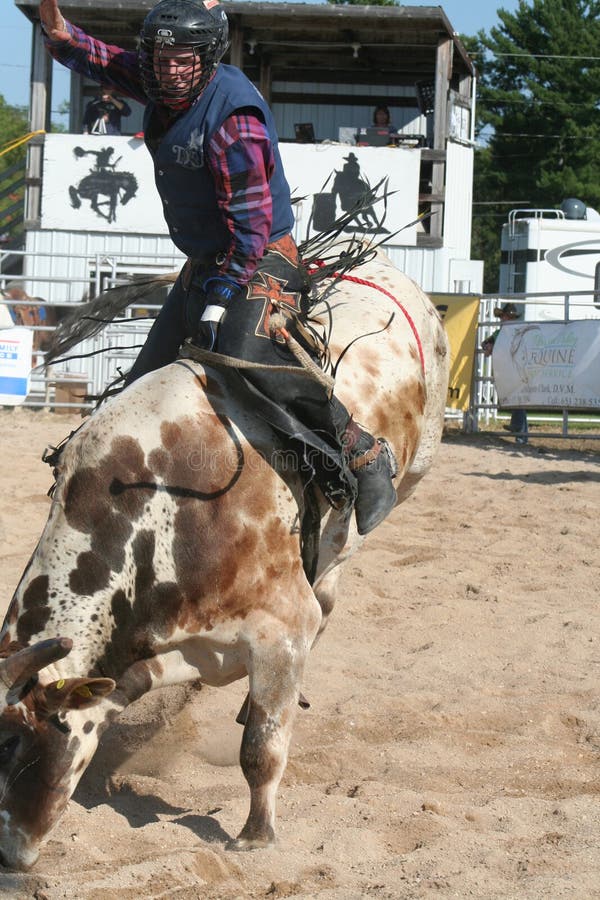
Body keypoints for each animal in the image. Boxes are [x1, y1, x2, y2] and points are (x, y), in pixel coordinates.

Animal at [0, 251, 449, 870]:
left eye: (14, 741)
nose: (8, 855)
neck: (165, 508)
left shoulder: (282, 630)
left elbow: (261, 748)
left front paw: (255, 837)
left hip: (415, 472)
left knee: (333, 585)